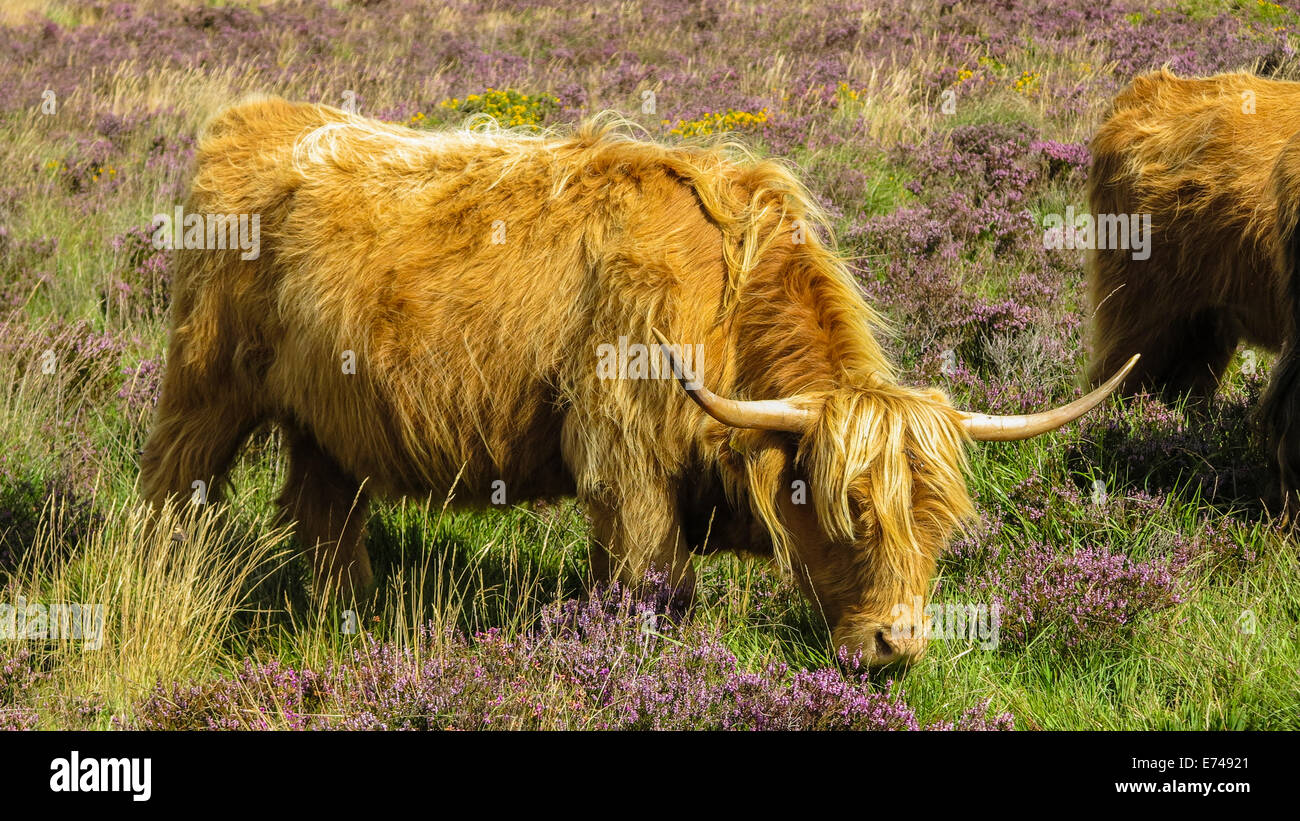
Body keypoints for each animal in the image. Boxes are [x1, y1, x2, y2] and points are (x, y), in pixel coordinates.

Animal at [140, 96, 1134, 665]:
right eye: (848, 510)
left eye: (936, 521)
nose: (898, 644)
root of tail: (254, 115)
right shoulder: (624, 459)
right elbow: (657, 584)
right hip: (204, 389)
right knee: (172, 498)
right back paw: (166, 591)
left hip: (328, 419)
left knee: (324, 513)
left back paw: (351, 617)